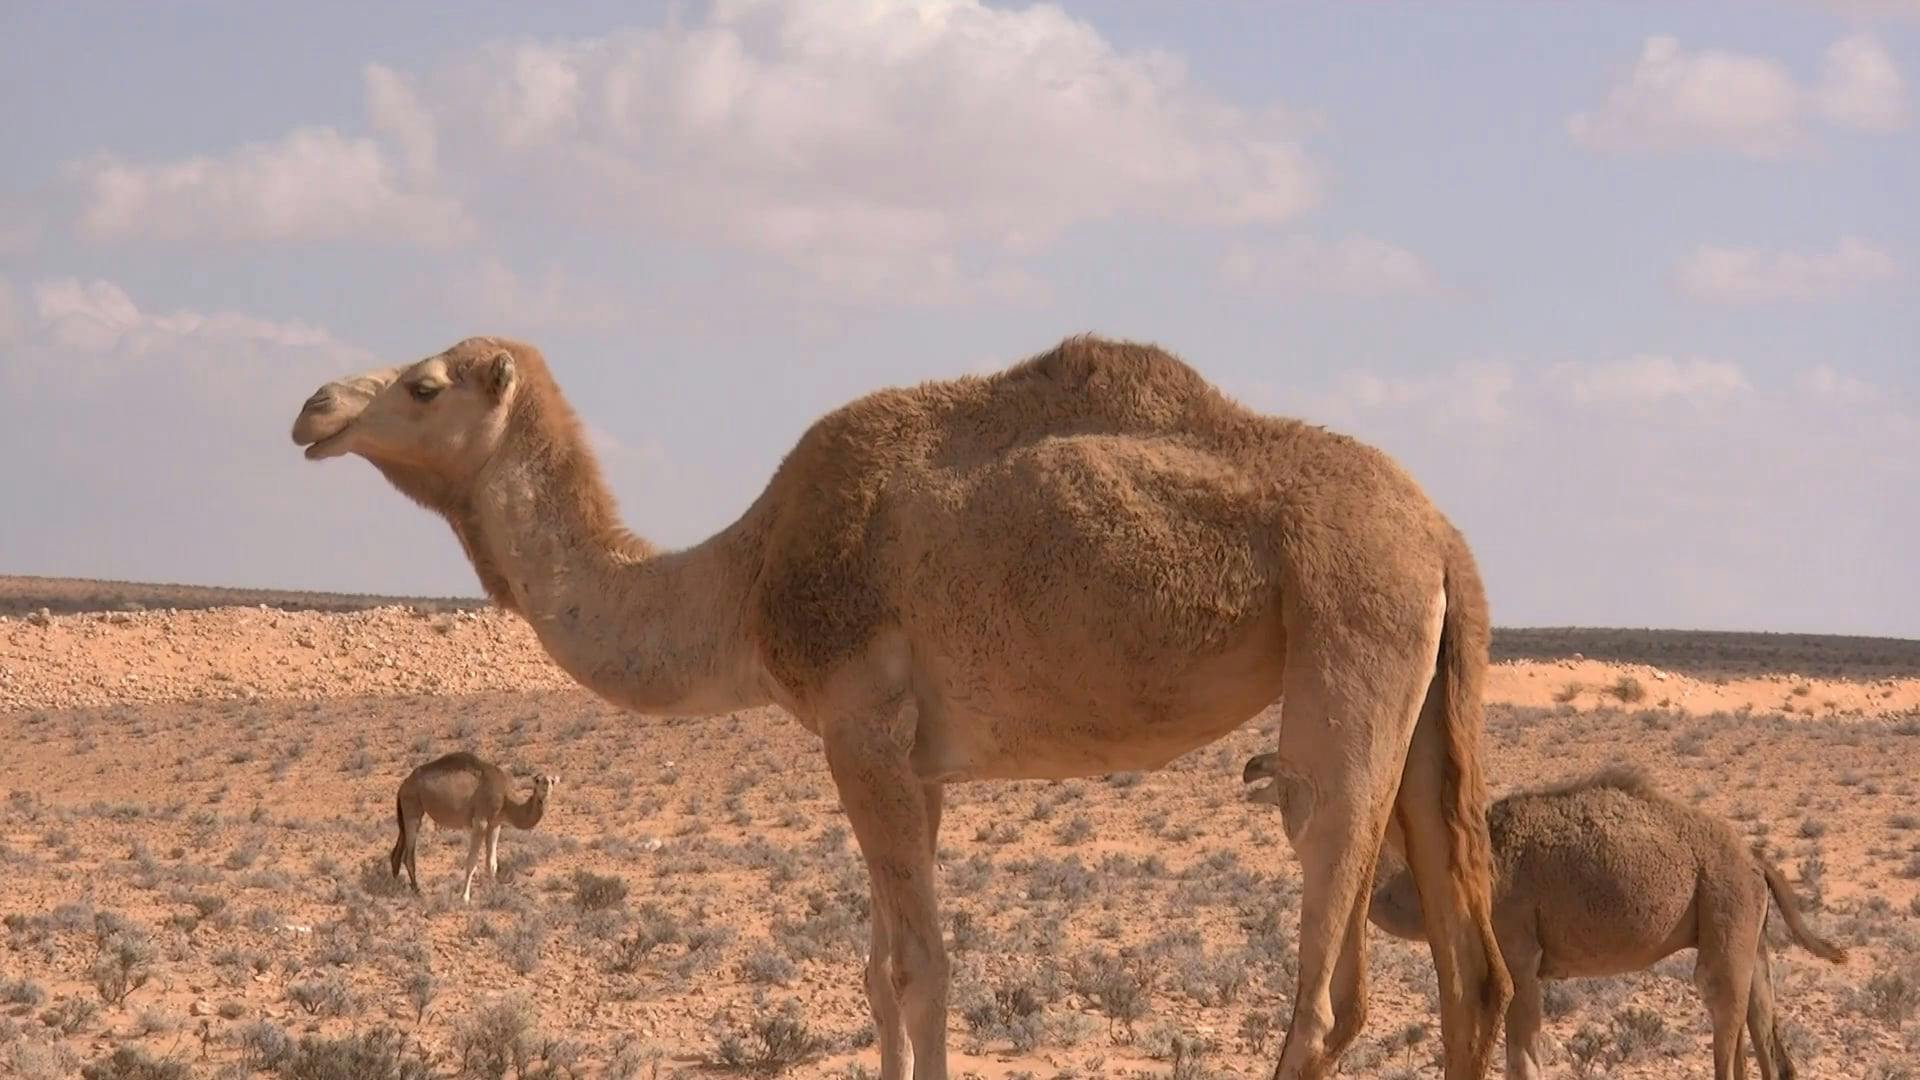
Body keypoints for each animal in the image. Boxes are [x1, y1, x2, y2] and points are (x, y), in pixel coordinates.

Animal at [390, 751, 557, 902]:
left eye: (552, 781)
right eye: (537, 780)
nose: (546, 787)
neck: (506, 799)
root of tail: (404, 784)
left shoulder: (495, 824)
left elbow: (492, 864)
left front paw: (492, 891)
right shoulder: (480, 822)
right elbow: (472, 862)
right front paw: (465, 897)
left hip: (407, 810)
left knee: (397, 852)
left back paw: (395, 885)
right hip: (412, 805)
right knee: (408, 853)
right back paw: (417, 891)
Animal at [1243, 756, 1847, 1079]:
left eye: (1292, 783)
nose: (1251, 768)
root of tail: (1755, 860)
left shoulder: (1518, 951)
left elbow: (1522, 1055)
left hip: (1724, 912)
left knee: (1726, 1016)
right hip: (1750, 932)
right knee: (1765, 1028)